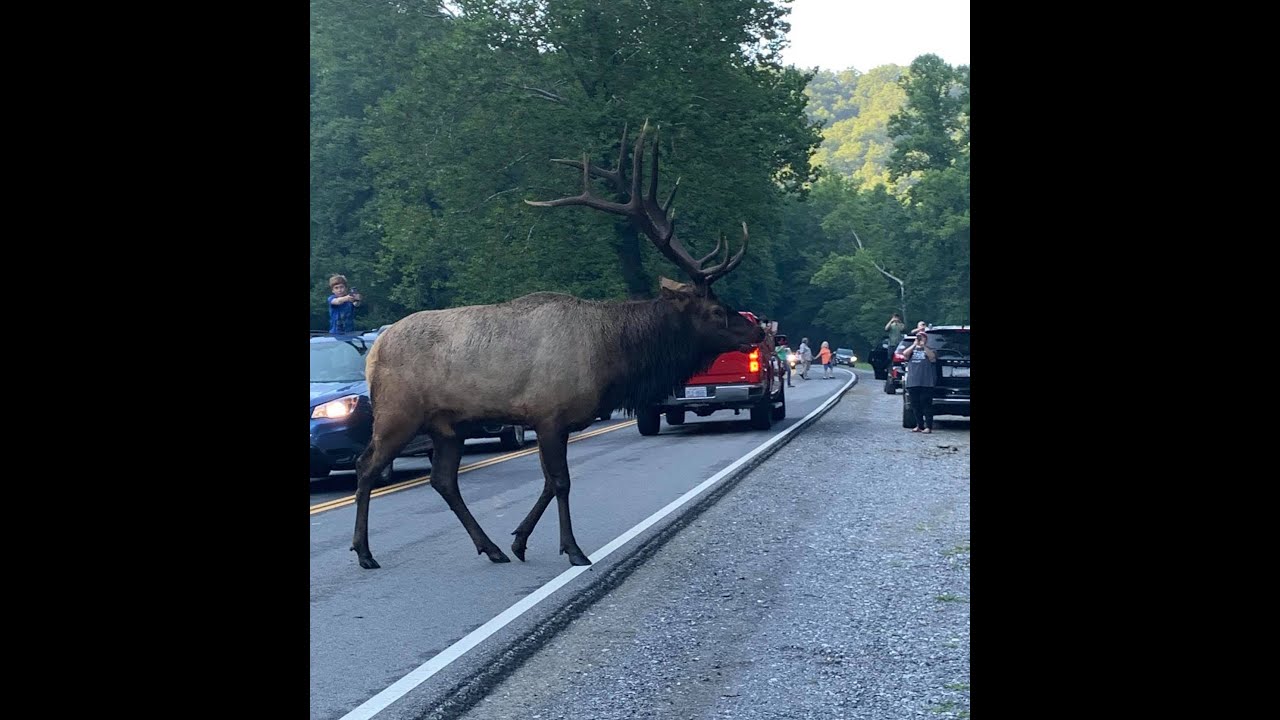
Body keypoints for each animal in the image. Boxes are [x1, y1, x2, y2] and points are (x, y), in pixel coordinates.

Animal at [351, 122, 765, 569]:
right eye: (717, 311)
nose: (758, 330)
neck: (612, 356)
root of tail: (373, 351)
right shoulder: (549, 413)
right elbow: (562, 482)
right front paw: (573, 549)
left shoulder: (554, 421)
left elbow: (550, 484)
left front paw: (519, 540)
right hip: (398, 413)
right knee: (366, 465)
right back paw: (365, 552)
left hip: (449, 425)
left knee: (443, 480)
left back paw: (491, 547)